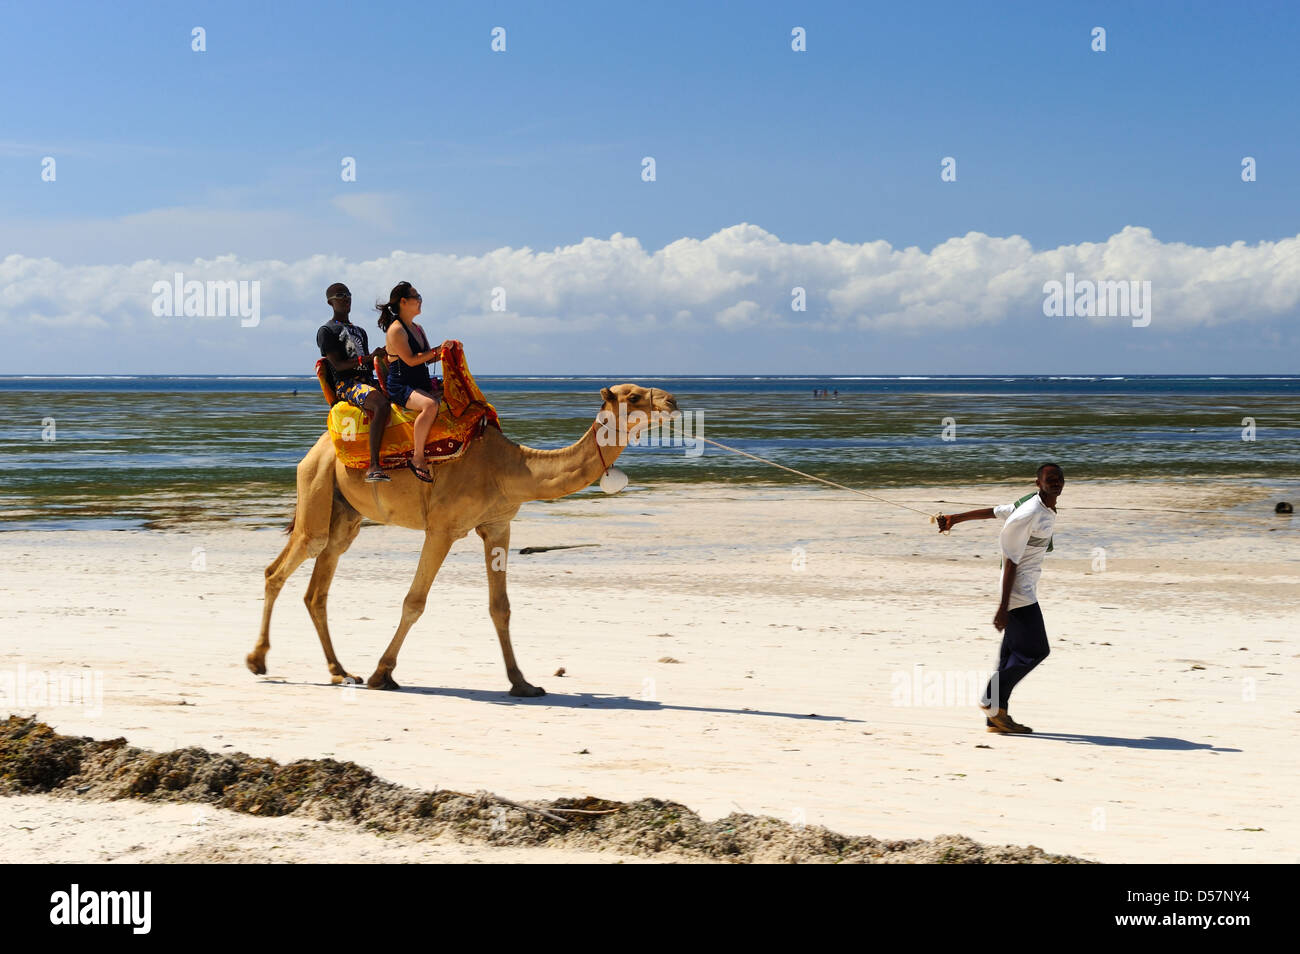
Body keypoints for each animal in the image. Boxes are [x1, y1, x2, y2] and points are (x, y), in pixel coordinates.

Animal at [247, 384, 678, 696]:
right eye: (632, 395)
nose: (672, 400)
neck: (509, 467)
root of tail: (316, 448)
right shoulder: (442, 528)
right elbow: (414, 602)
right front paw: (382, 674)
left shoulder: (498, 525)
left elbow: (500, 607)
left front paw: (523, 683)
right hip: (316, 486)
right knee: (282, 566)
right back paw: (258, 661)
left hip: (346, 516)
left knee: (317, 588)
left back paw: (339, 672)